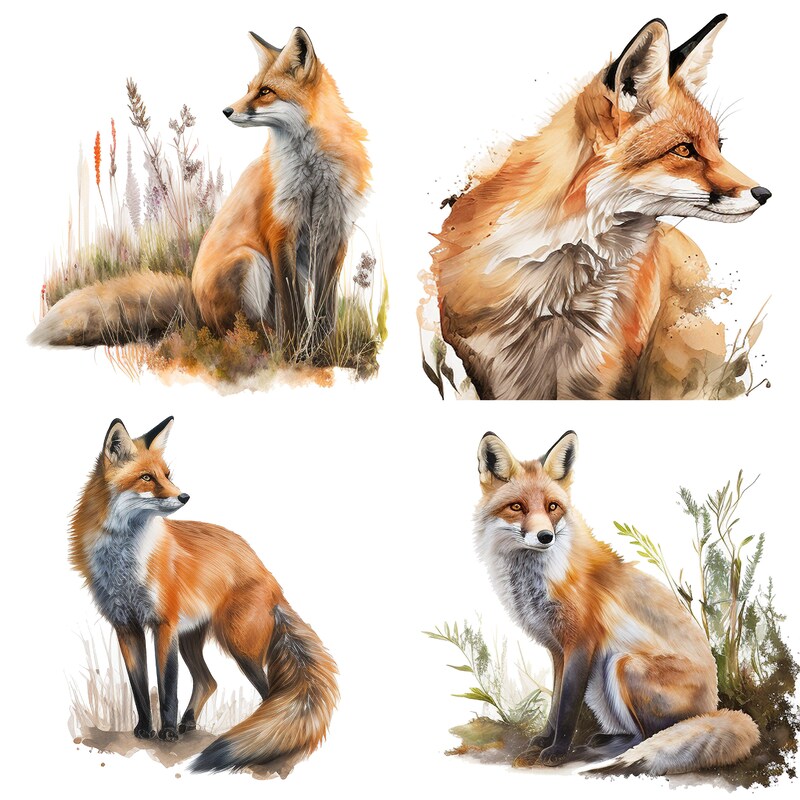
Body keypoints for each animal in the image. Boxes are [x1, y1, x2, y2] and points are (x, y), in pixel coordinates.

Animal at [31, 26, 371, 350]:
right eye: (249, 88)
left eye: (265, 92)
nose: (227, 110)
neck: (313, 176)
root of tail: (195, 308)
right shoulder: (280, 232)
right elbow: (293, 310)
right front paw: (295, 350)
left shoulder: (334, 236)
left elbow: (326, 309)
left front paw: (321, 349)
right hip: (249, 260)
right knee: (239, 331)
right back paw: (267, 343)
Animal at [69, 416, 338, 775]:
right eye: (146, 477)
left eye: (167, 474)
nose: (184, 496)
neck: (124, 561)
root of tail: (269, 576)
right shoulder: (126, 626)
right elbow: (140, 688)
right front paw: (144, 730)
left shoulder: (164, 624)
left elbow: (167, 688)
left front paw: (167, 732)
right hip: (191, 640)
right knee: (209, 681)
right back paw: (192, 723)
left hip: (238, 644)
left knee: (267, 693)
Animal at [473, 430, 759, 775]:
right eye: (517, 506)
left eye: (552, 506)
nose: (545, 537)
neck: (538, 578)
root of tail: (713, 707)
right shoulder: (558, 650)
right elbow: (555, 704)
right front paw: (543, 741)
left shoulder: (581, 642)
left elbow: (567, 707)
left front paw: (557, 752)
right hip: (602, 681)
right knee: (639, 733)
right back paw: (604, 741)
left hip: (622, 664)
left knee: (652, 734)